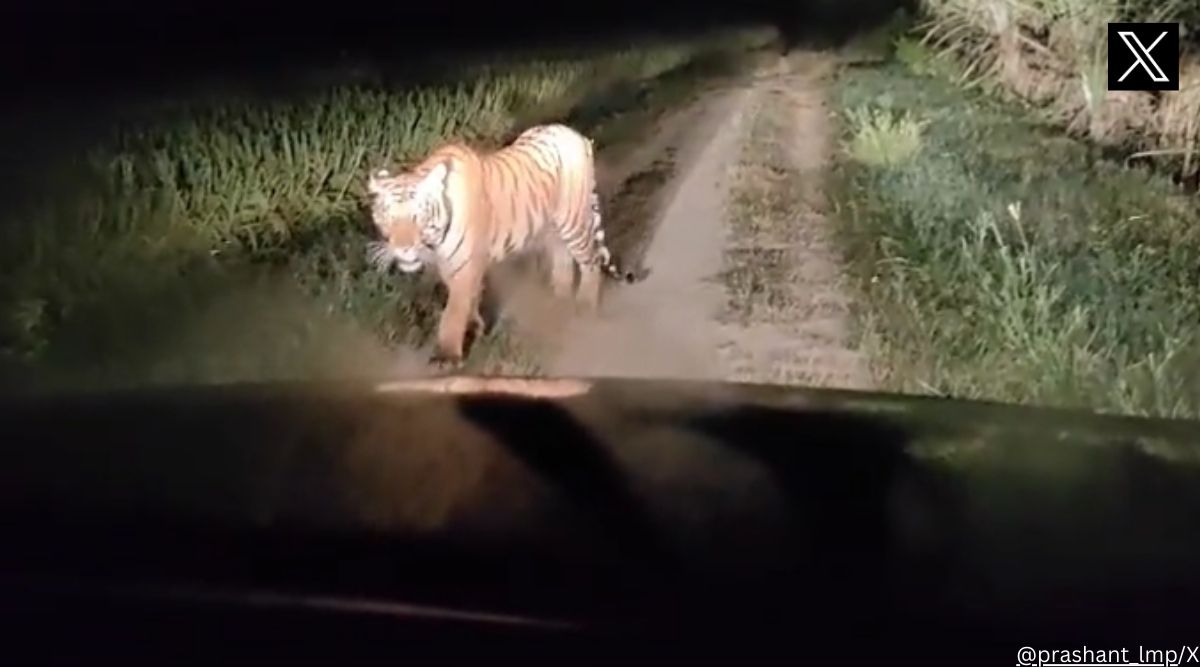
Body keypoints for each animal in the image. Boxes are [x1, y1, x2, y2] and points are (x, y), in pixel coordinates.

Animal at [365, 123, 647, 366]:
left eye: (416, 216)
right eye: (388, 217)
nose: (403, 249)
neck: (434, 242)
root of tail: (575, 134)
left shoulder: (465, 264)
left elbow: (452, 311)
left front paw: (446, 357)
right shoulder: (450, 265)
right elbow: (468, 299)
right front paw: (476, 328)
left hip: (572, 221)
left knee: (590, 260)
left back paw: (585, 306)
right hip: (553, 227)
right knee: (563, 259)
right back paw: (558, 301)